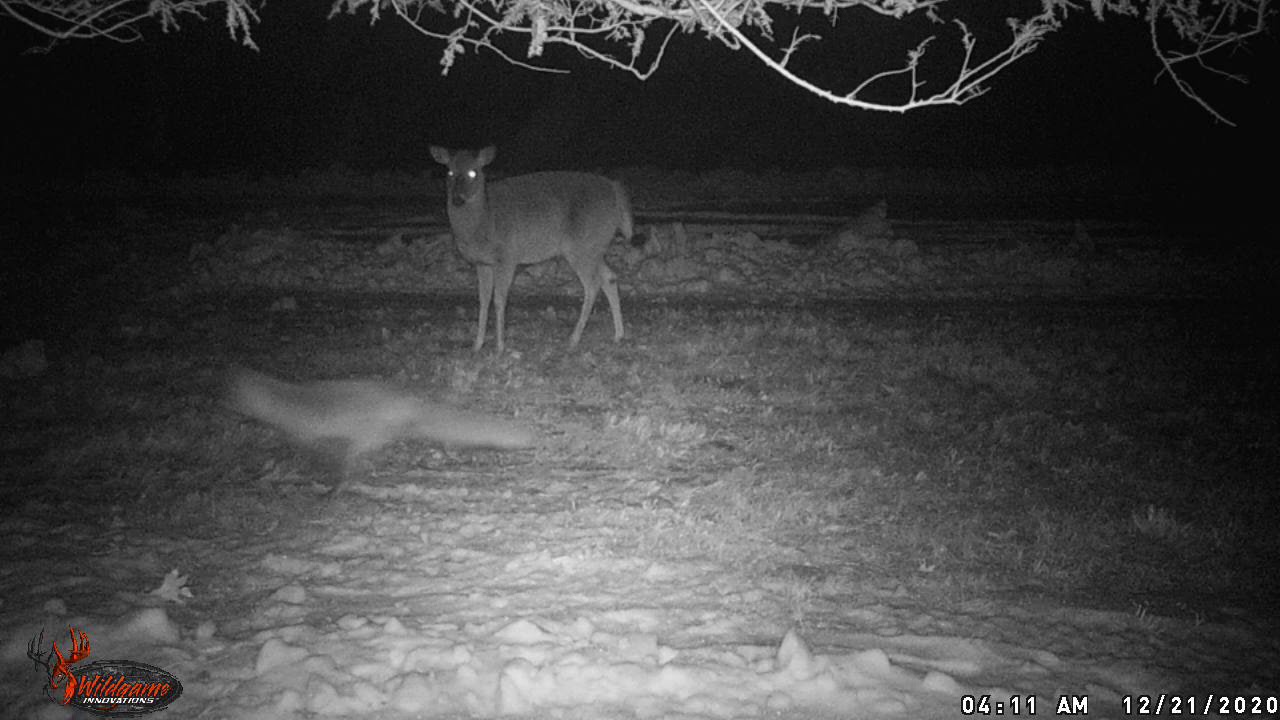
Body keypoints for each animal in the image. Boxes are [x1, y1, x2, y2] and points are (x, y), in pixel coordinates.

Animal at [225, 367, 534, 465]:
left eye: (231, 397)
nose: (222, 402)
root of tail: (408, 402)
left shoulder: (304, 431)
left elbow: (307, 445)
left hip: (370, 432)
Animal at [430, 145, 632, 352]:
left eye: (473, 172)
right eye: (449, 172)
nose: (457, 199)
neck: (486, 219)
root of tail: (615, 190)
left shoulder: (507, 256)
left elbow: (499, 300)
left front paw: (500, 346)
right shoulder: (482, 262)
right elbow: (483, 300)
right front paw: (477, 344)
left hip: (582, 246)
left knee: (593, 285)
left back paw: (574, 339)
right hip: (595, 247)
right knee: (609, 277)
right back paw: (618, 335)